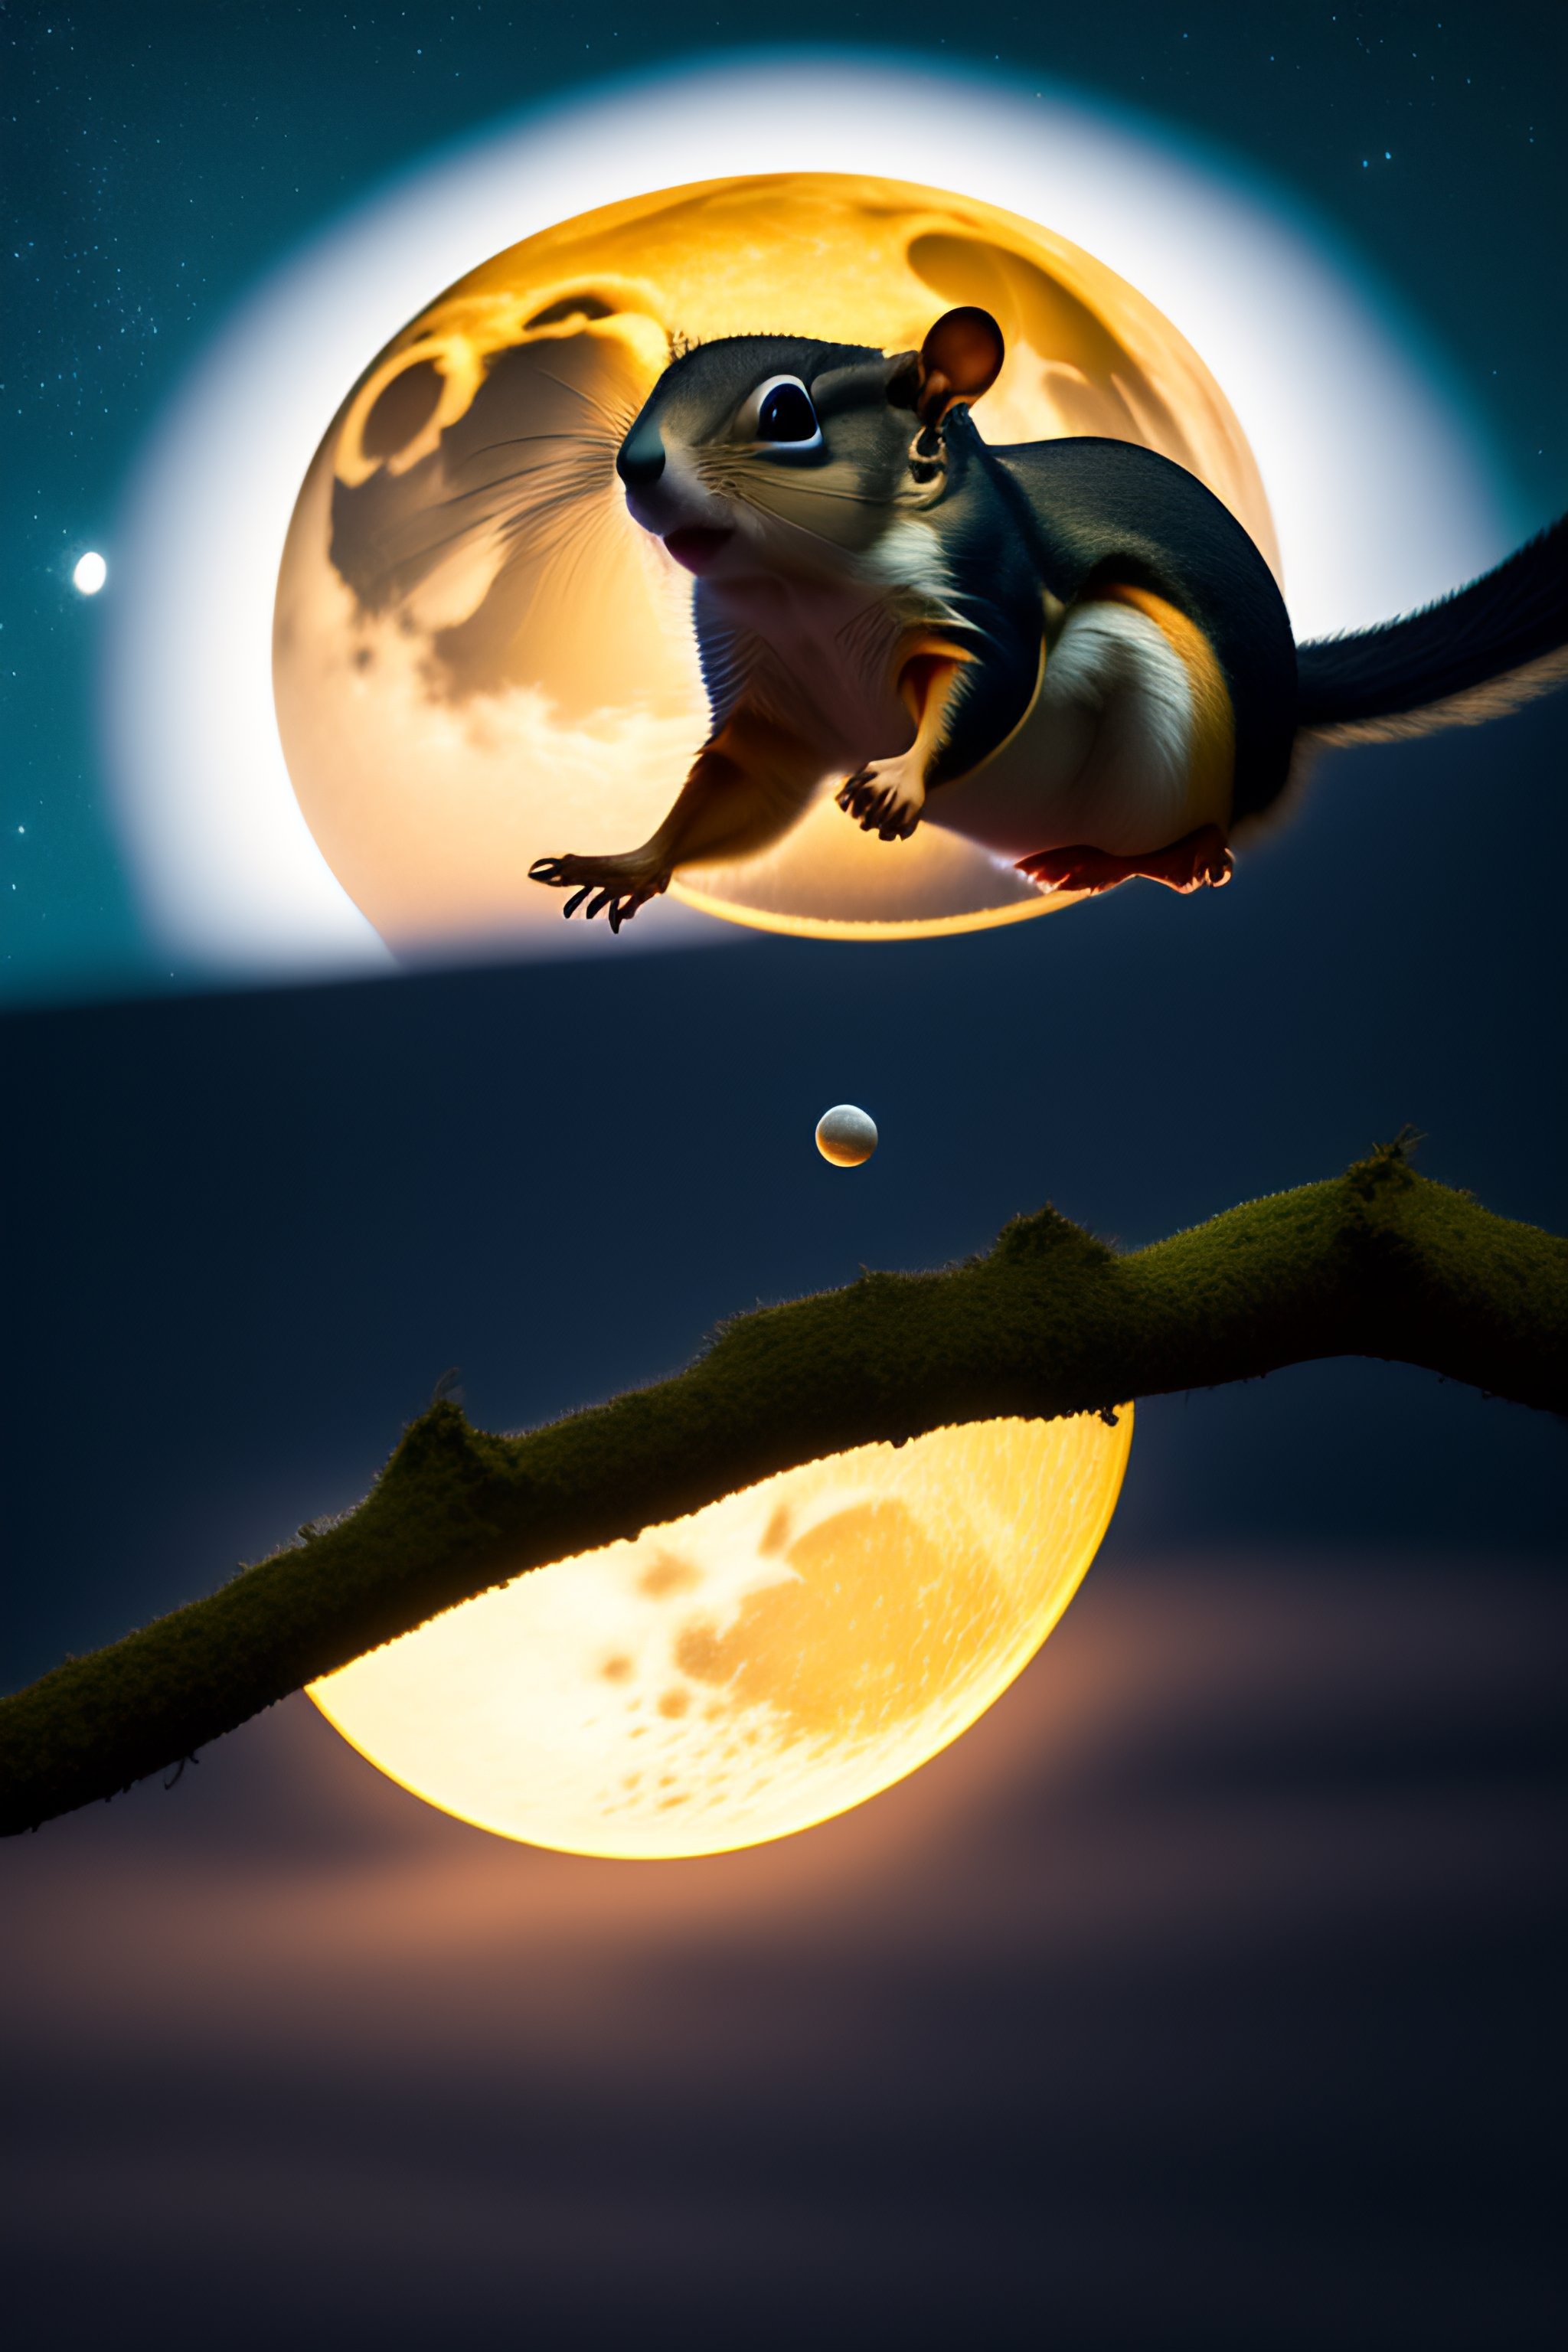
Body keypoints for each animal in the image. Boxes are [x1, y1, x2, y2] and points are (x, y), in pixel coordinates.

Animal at [529, 305, 1568, 930]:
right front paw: (632, 861)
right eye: (666, 379)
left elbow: (982, 692)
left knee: (1204, 827)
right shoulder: (769, 697)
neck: (797, 589)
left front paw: (899, 779)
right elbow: (735, 786)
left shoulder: (984, 597)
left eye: (787, 414)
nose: (634, 465)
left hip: (1174, 726)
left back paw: (1158, 859)